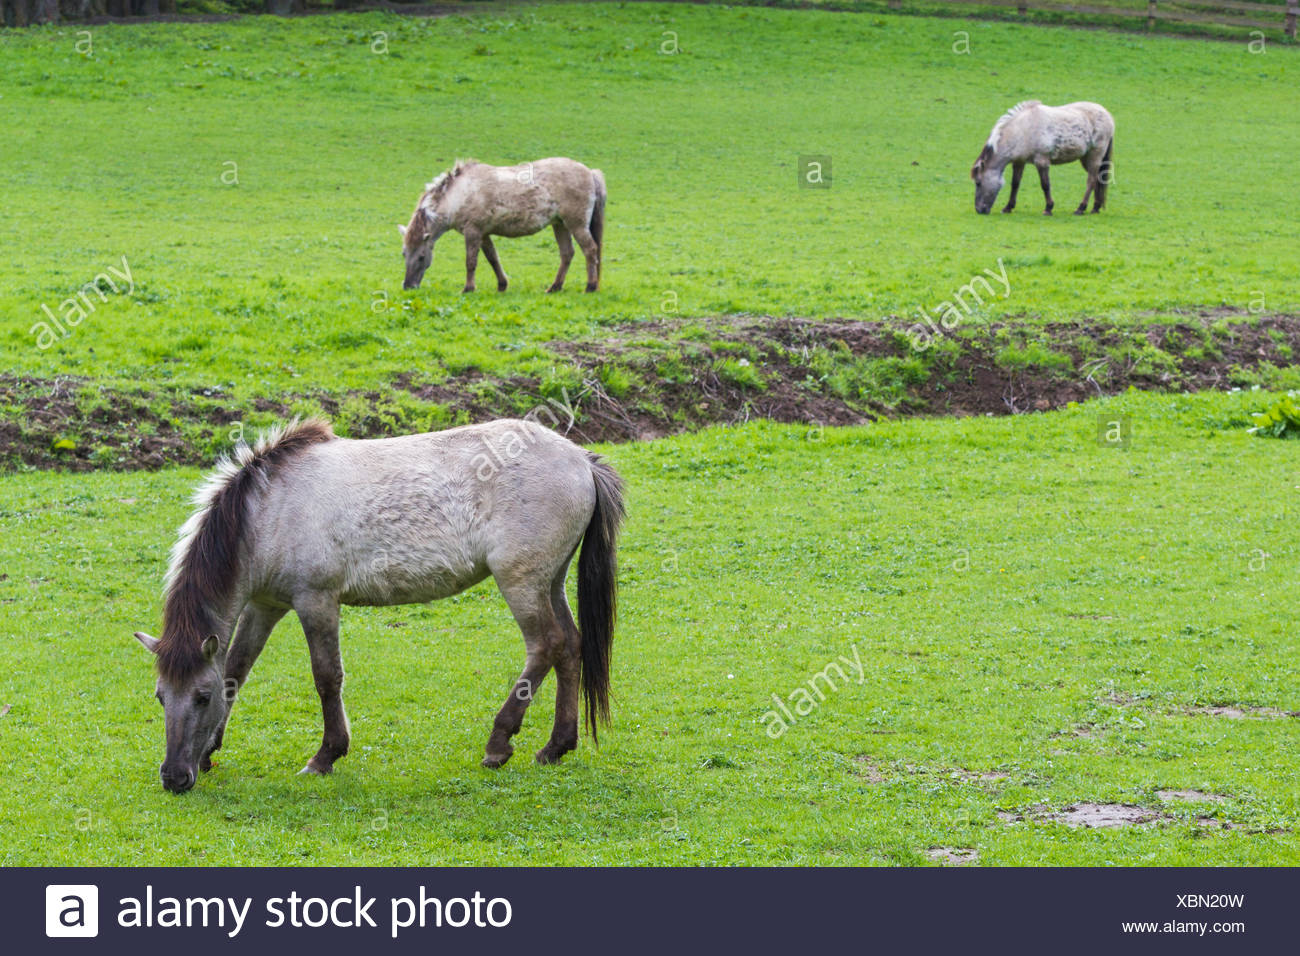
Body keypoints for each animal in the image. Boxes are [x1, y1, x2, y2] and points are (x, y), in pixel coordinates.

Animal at [133, 417, 625, 794]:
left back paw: (499, 744)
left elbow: (326, 678)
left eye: (202, 696)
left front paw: (326, 756)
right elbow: (237, 668)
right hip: (550, 581)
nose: (174, 778)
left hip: (520, 582)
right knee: (570, 647)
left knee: (546, 646)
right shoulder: (265, 605)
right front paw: (211, 751)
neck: (267, 512)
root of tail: (581, 460)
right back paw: (556, 746)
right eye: (161, 696)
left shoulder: (316, 600)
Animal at [400, 157, 606, 293]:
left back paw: (590, 286)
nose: (408, 286)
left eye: (422, 256)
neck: (460, 193)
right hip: (560, 225)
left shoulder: (473, 232)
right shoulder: (483, 234)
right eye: (404, 254)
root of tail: (590, 173)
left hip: (576, 225)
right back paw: (554, 287)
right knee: (567, 254)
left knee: (590, 250)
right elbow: (493, 258)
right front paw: (502, 285)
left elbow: (471, 262)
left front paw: (468, 288)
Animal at [970, 101, 1114, 216]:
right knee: (1098, 178)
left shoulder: (1042, 161)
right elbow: (1015, 184)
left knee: (1091, 181)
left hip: (1095, 156)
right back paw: (1095, 207)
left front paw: (1048, 208)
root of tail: (1108, 116)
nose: (979, 210)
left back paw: (1081, 208)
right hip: (1086, 158)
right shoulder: (1019, 162)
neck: (1023, 130)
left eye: (978, 182)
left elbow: (1045, 184)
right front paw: (1008, 207)